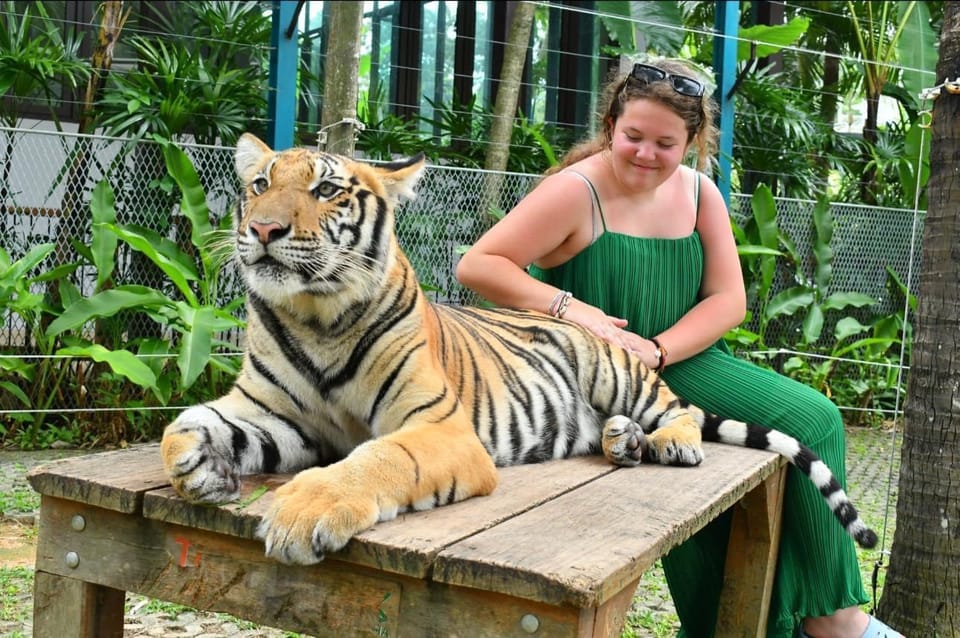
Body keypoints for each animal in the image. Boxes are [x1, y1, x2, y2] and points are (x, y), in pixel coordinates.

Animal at [160, 133, 878, 566]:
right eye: (260, 185)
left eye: (327, 190)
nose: (262, 229)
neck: (315, 314)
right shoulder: (275, 412)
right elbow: (181, 426)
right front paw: (202, 469)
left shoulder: (439, 428)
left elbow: (376, 459)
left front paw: (302, 510)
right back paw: (622, 441)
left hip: (615, 369)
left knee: (679, 408)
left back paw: (666, 442)